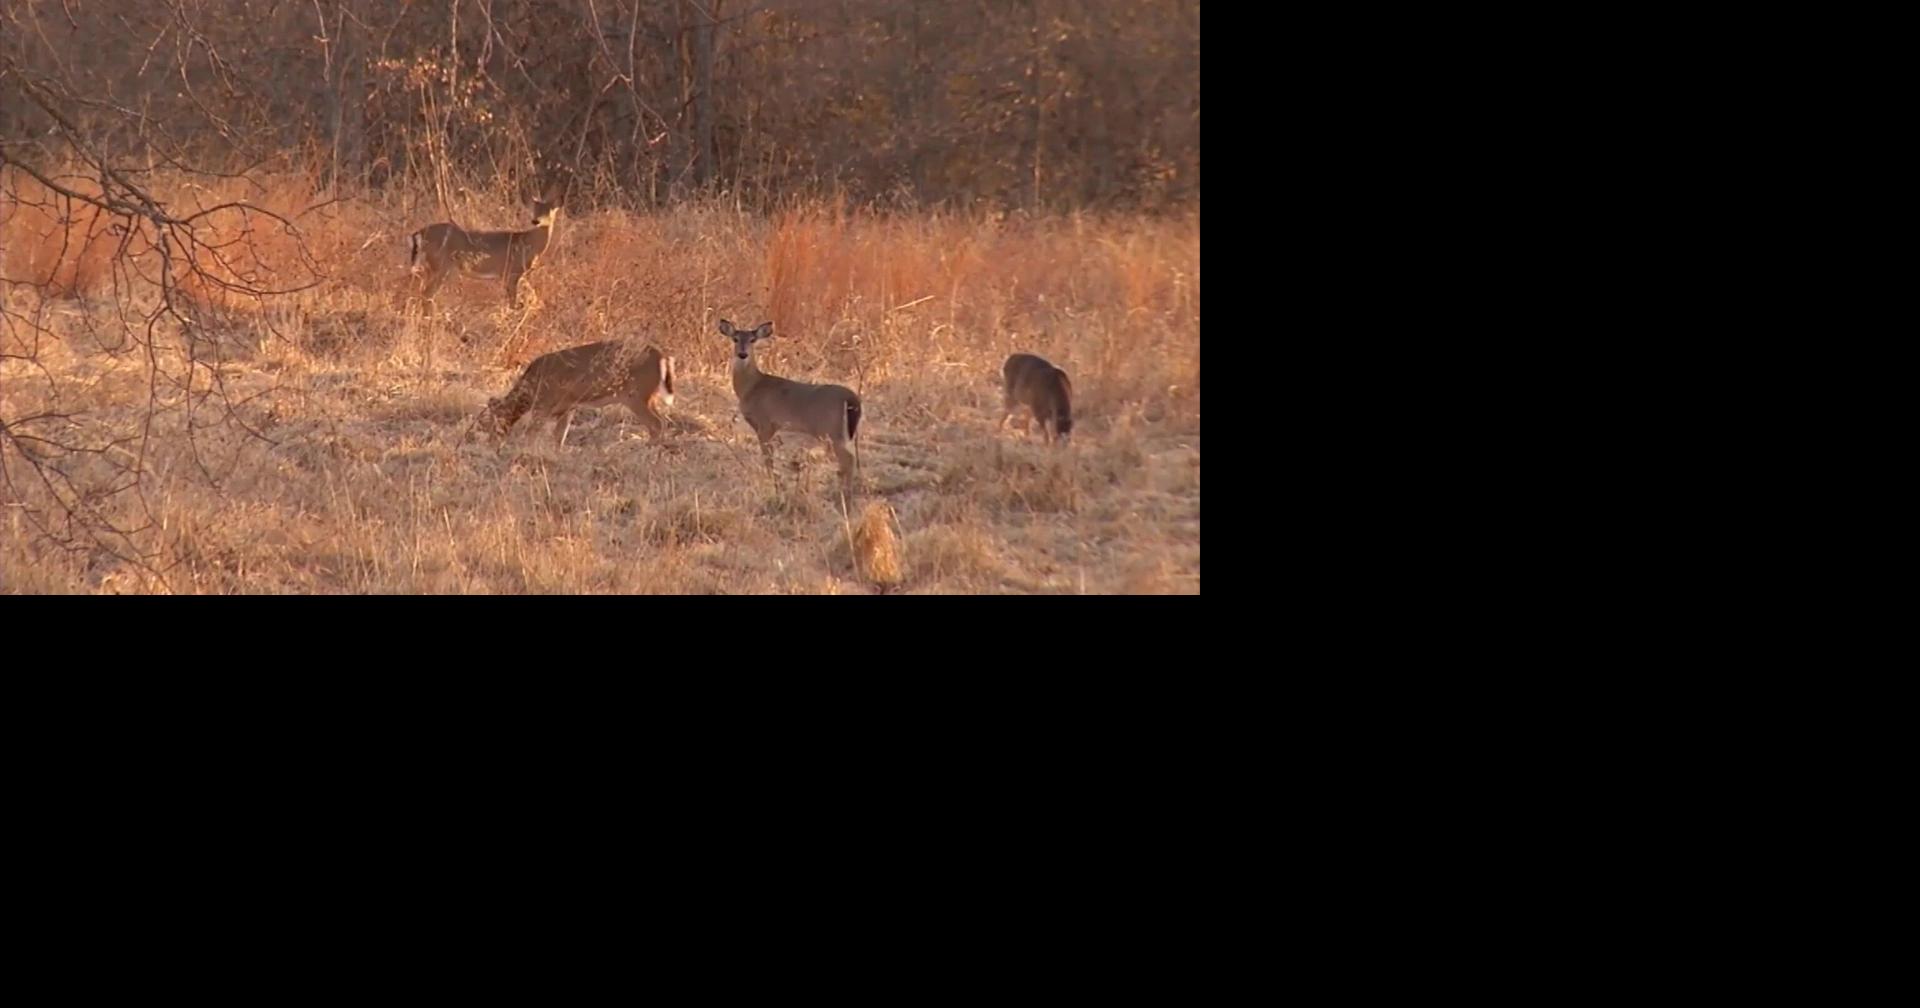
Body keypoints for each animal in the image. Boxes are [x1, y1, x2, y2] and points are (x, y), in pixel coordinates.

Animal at [406, 188, 562, 313]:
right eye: (534, 209)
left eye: (548, 211)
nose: (535, 221)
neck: (528, 244)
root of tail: (419, 234)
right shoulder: (512, 272)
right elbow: (513, 303)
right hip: (443, 267)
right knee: (427, 294)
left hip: (431, 268)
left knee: (423, 292)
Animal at [475, 339, 676, 448]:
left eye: (492, 422)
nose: (492, 443)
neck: (530, 390)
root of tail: (662, 356)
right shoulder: (568, 407)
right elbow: (560, 436)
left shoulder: (543, 405)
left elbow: (532, 432)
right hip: (648, 396)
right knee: (662, 421)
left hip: (636, 395)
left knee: (656, 423)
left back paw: (650, 448)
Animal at [720, 319, 862, 497]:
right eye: (735, 339)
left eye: (753, 340)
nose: (742, 354)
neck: (751, 387)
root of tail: (851, 399)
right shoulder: (772, 427)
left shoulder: (765, 423)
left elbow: (768, 457)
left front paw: (771, 482)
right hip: (842, 434)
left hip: (831, 431)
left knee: (848, 460)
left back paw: (844, 494)